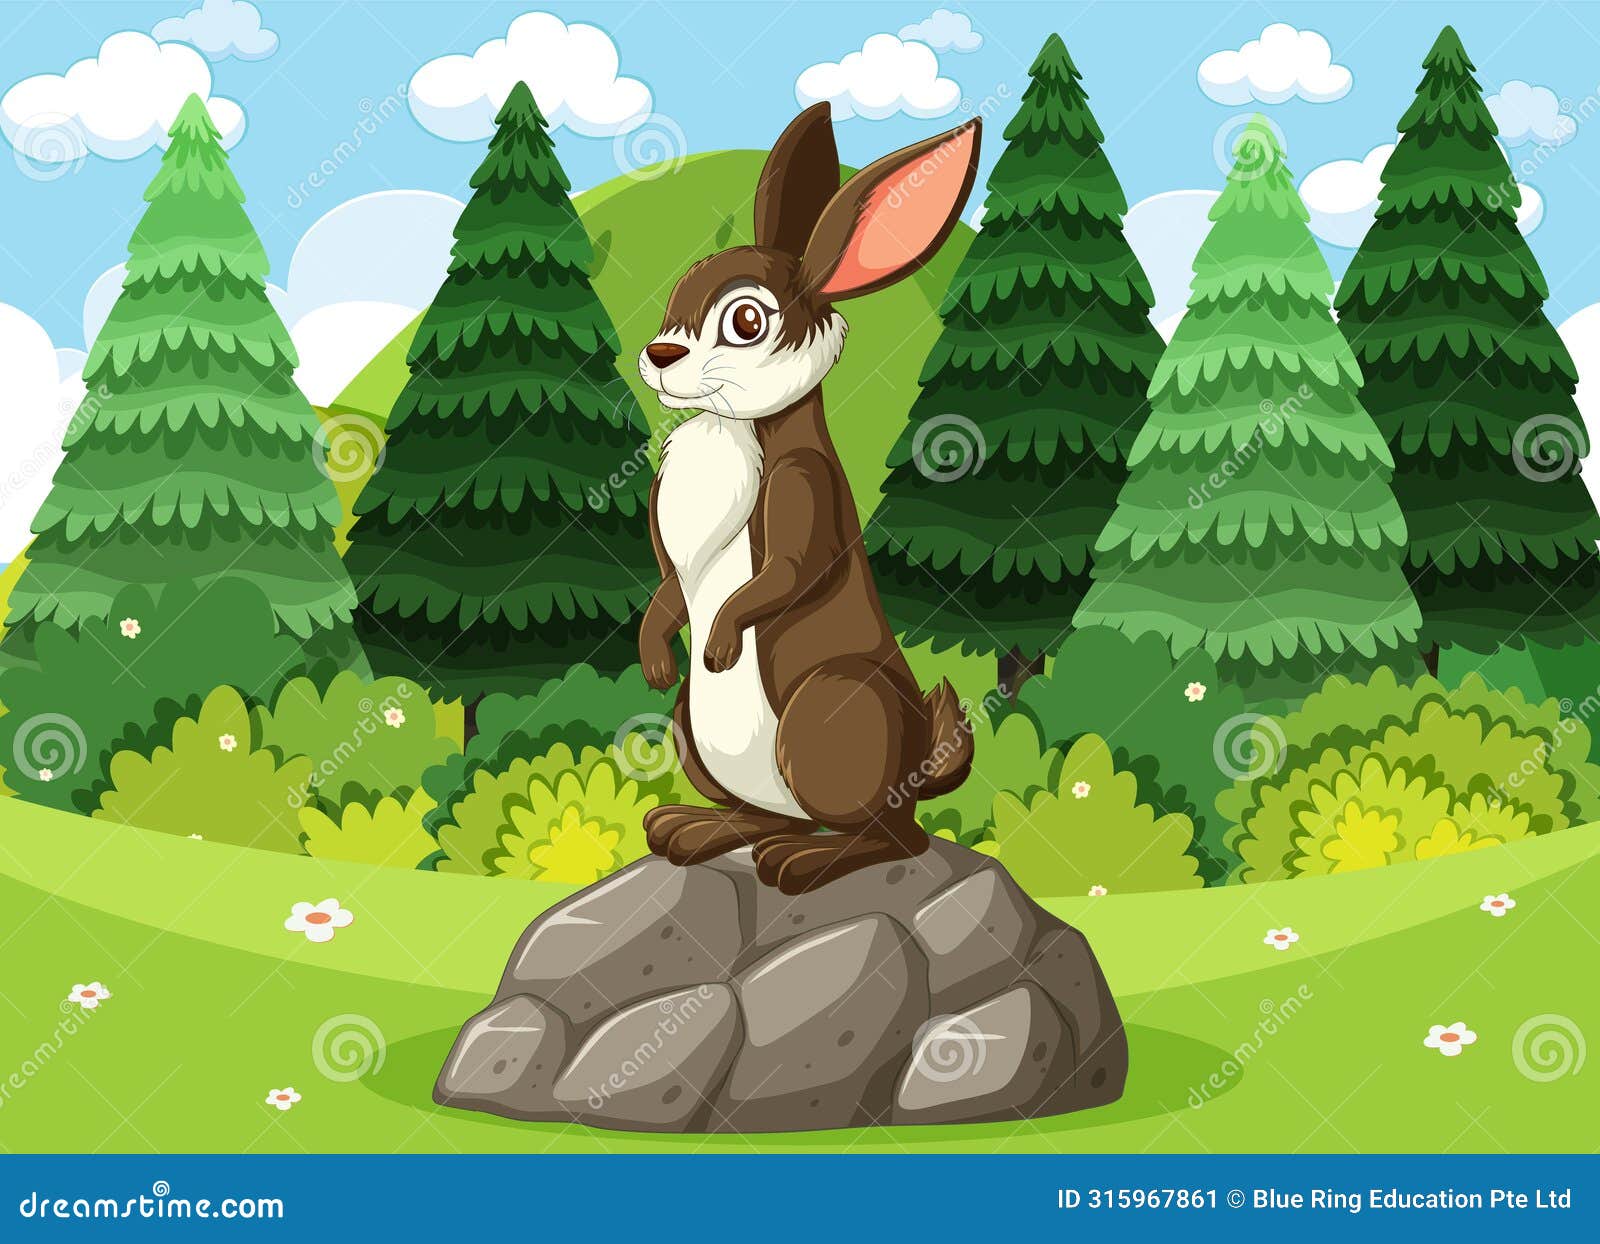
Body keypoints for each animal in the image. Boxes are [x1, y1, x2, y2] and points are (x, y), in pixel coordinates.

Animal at [635, 101, 981, 894]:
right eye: (676, 296)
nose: (659, 357)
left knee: (895, 837)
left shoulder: (802, 487)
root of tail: (919, 770)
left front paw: (719, 643)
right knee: (772, 816)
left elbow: (788, 571)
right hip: (694, 732)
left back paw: (805, 863)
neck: (731, 426)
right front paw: (657, 654)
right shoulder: (672, 563)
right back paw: (692, 830)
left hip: (825, 708)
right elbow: (669, 588)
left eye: (746, 321)